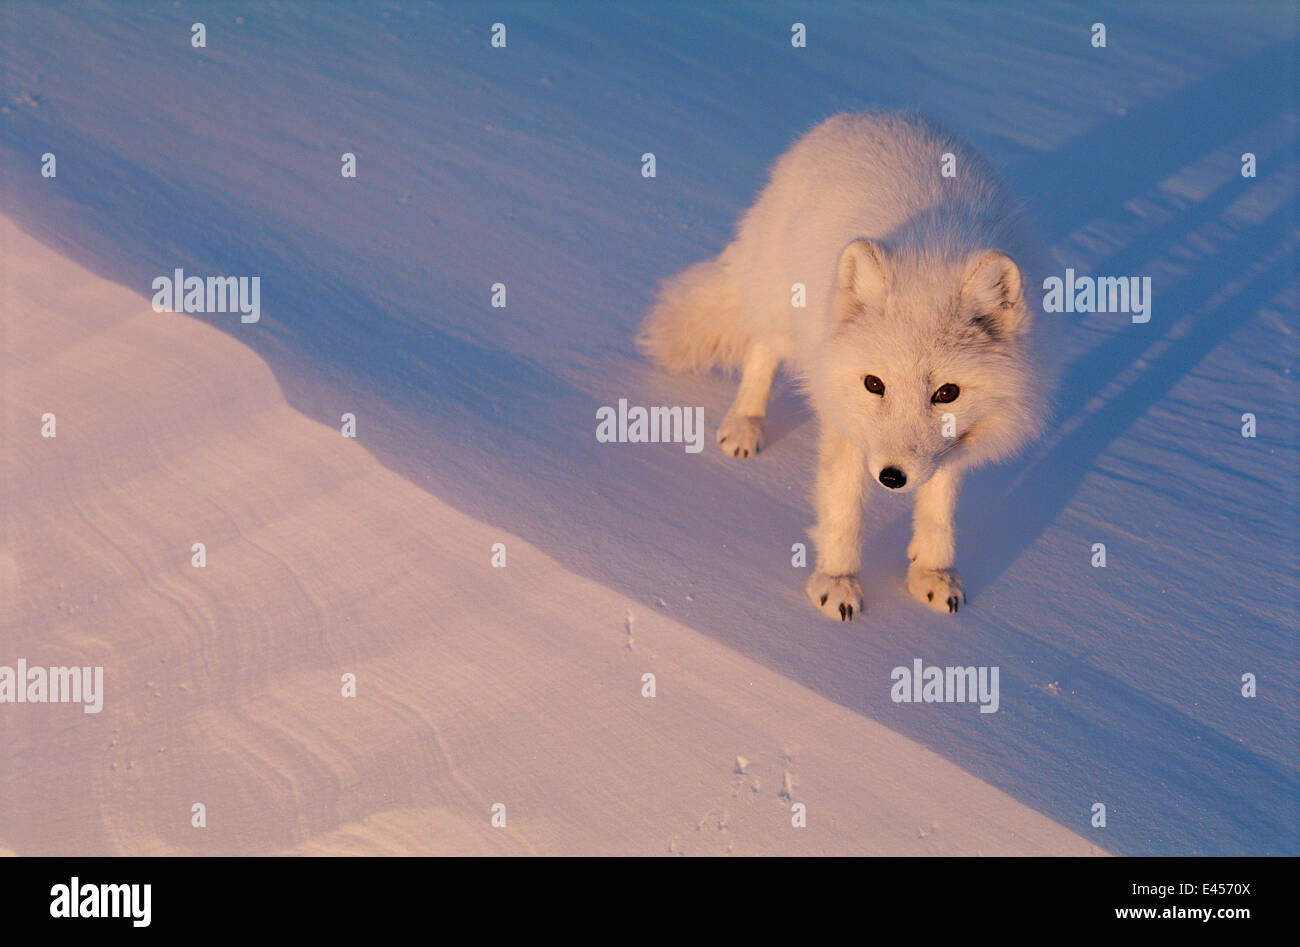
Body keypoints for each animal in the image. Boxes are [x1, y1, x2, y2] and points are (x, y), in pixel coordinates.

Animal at [638, 111, 1057, 621]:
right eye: (874, 384)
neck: (934, 253)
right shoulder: (842, 418)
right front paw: (837, 583)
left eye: (946, 393)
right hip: (783, 302)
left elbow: (939, 509)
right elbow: (842, 511)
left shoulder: (958, 441)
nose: (892, 477)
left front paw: (932, 572)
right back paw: (745, 423)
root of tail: (871, 113)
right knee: (762, 347)